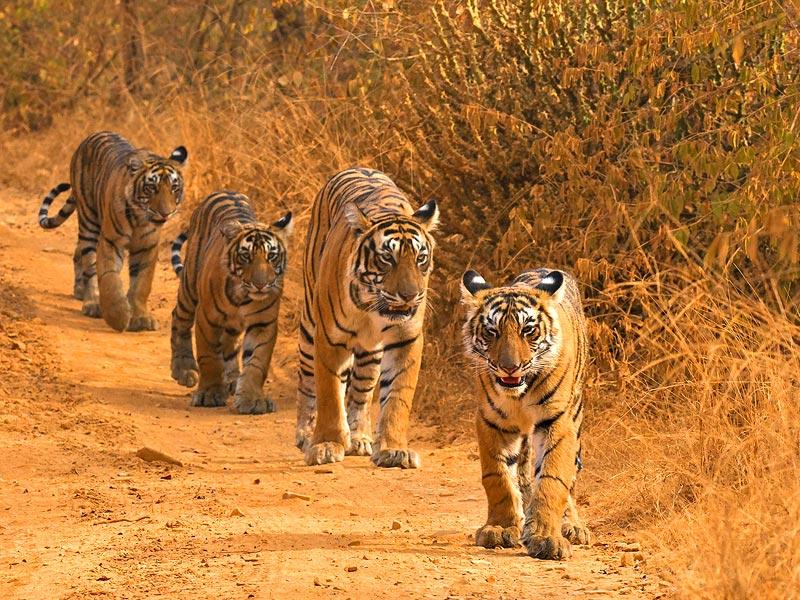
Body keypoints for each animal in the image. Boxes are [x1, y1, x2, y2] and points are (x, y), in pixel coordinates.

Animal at [38, 131, 188, 332]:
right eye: (151, 188)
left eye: (174, 188)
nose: (166, 212)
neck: (140, 218)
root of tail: (92, 135)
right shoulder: (111, 241)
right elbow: (109, 278)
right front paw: (118, 316)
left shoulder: (147, 246)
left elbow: (142, 284)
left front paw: (141, 318)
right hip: (89, 222)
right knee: (89, 264)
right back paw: (92, 303)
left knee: (78, 254)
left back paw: (79, 291)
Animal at [169, 191, 293, 415]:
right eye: (246, 256)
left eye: (271, 256)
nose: (261, 284)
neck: (243, 297)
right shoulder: (207, 318)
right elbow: (209, 356)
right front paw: (209, 394)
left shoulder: (263, 323)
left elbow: (257, 362)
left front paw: (253, 399)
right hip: (189, 286)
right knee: (179, 318)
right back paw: (184, 369)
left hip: (231, 324)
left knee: (230, 346)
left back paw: (233, 380)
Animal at [296, 167, 438, 468]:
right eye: (387, 258)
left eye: (420, 257)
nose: (410, 295)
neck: (373, 309)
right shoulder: (329, 339)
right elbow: (329, 394)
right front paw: (325, 445)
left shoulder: (406, 339)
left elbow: (397, 398)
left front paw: (393, 450)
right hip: (309, 326)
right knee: (307, 380)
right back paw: (305, 434)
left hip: (370, 351)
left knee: (361, 391)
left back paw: (360, 437)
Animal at [460, 267, 590, 560]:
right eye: (492, 331)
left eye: (528, 330)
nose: (510, 367)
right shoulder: (491, 421)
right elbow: (498, 477)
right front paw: (499, 528)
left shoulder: (559, 421)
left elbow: (553, 479)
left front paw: (545, 537)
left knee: (569, 483)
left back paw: (573, 526)